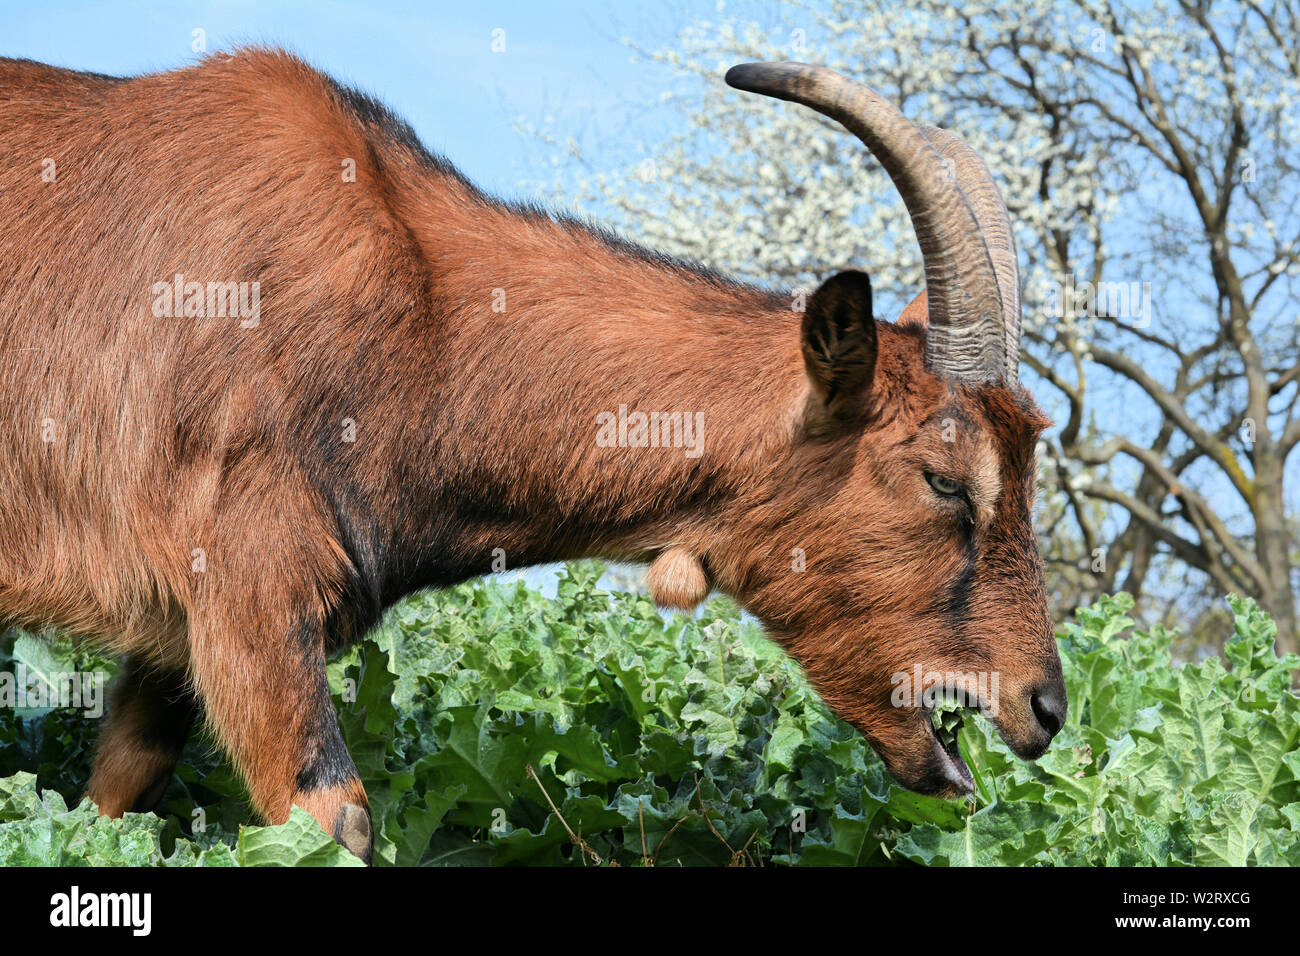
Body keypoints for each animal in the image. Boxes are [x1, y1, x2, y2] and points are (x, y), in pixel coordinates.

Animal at [0, 51, 1067, 862]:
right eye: (943, 477)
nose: (1045, 706)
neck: (421, 307)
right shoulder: (248, 603)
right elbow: (335, 820)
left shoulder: (171, 647)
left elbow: (108, 796)